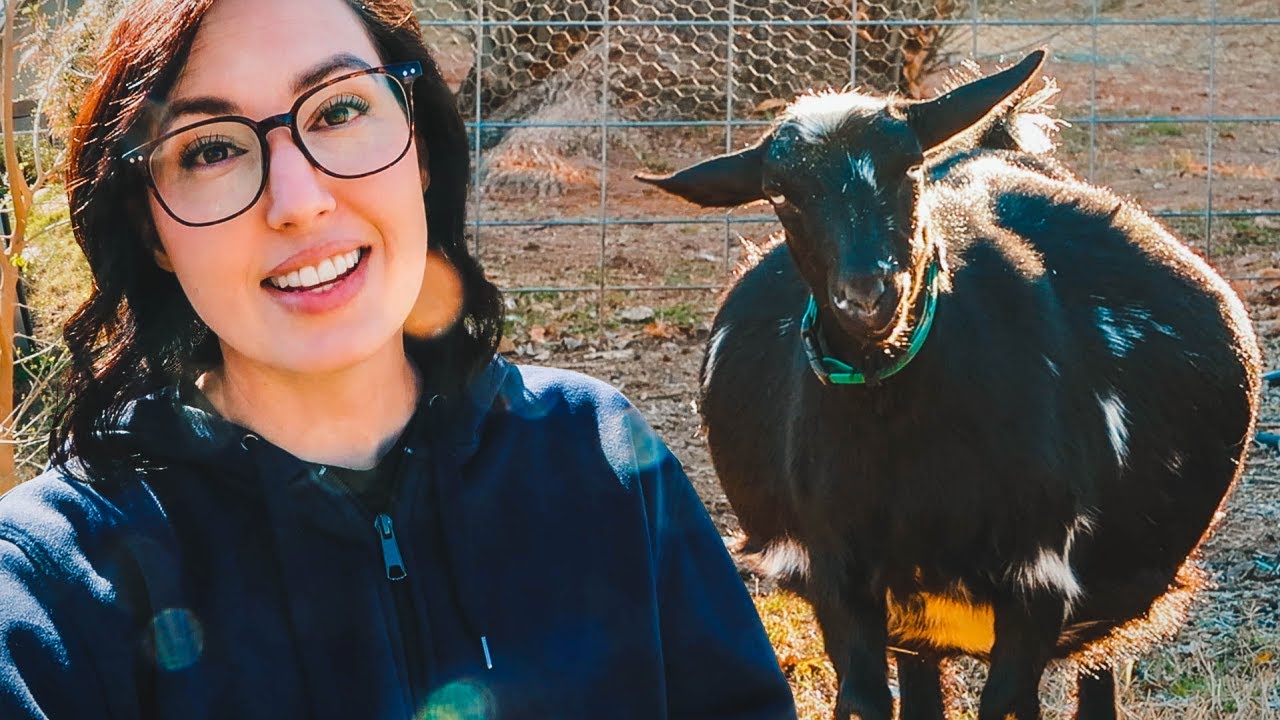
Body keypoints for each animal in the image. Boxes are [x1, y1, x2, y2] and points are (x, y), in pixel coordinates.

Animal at [637, 50, 1261, 720]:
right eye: (780, 193)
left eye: (909, 166)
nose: (867, 295)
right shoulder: (838, 574)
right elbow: (865, 697)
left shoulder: (1039, 575)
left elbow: (1008, 701)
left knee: (1091, 674)